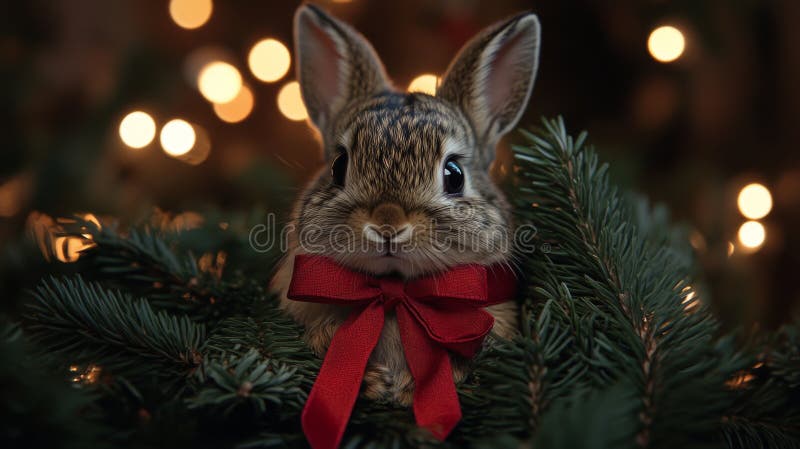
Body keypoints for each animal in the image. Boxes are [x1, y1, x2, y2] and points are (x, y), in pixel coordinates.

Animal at [271, 3, 541, 406]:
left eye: (454, 175)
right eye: (339, 166)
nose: (388, 224)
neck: (397, 293)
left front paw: (412, 386)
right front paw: (372, 380)